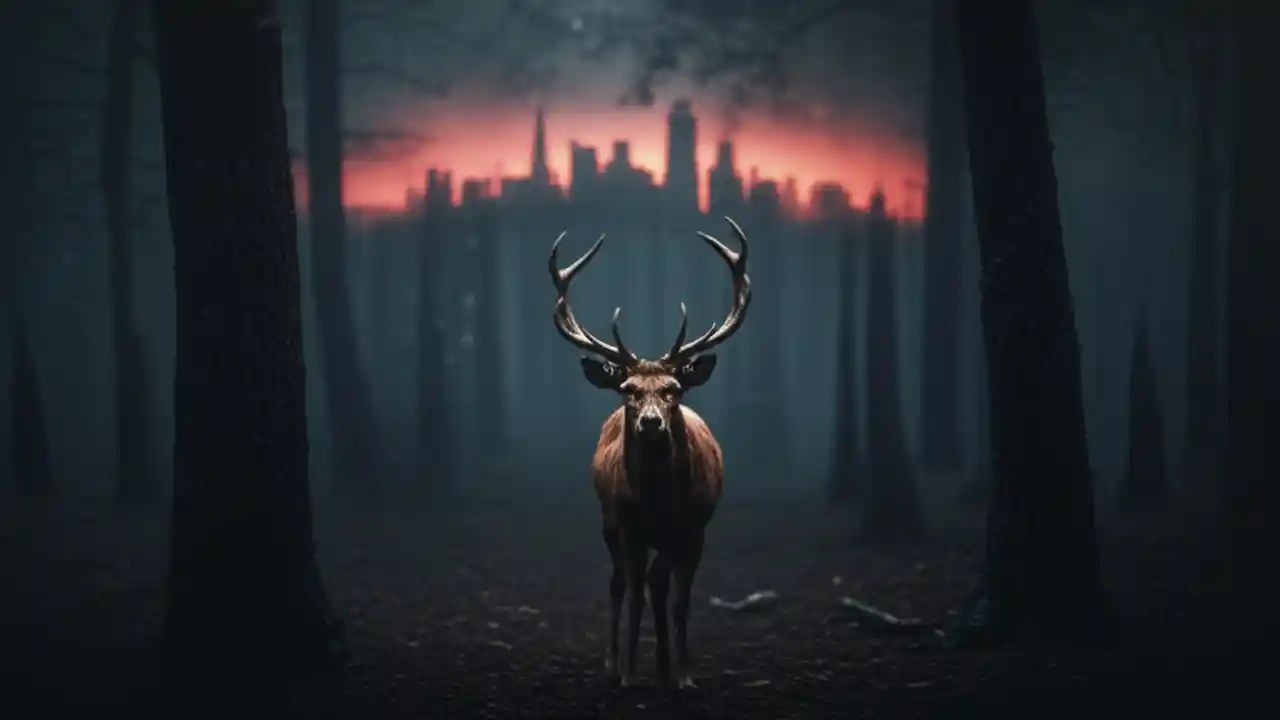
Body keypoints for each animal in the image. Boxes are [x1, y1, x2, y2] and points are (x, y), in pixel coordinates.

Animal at [547, 217, 751, 690]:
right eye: (628, 389)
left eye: (674, 389)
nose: (652, 422)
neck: (660, 502)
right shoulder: (628, 526)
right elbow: (634, 594)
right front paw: (626, 674)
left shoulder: (694, 530)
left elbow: (680, 601)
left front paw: (684, 675)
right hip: (608, 521)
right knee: (620, 584)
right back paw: (614, 661)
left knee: (657, 584)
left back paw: (660, 664)